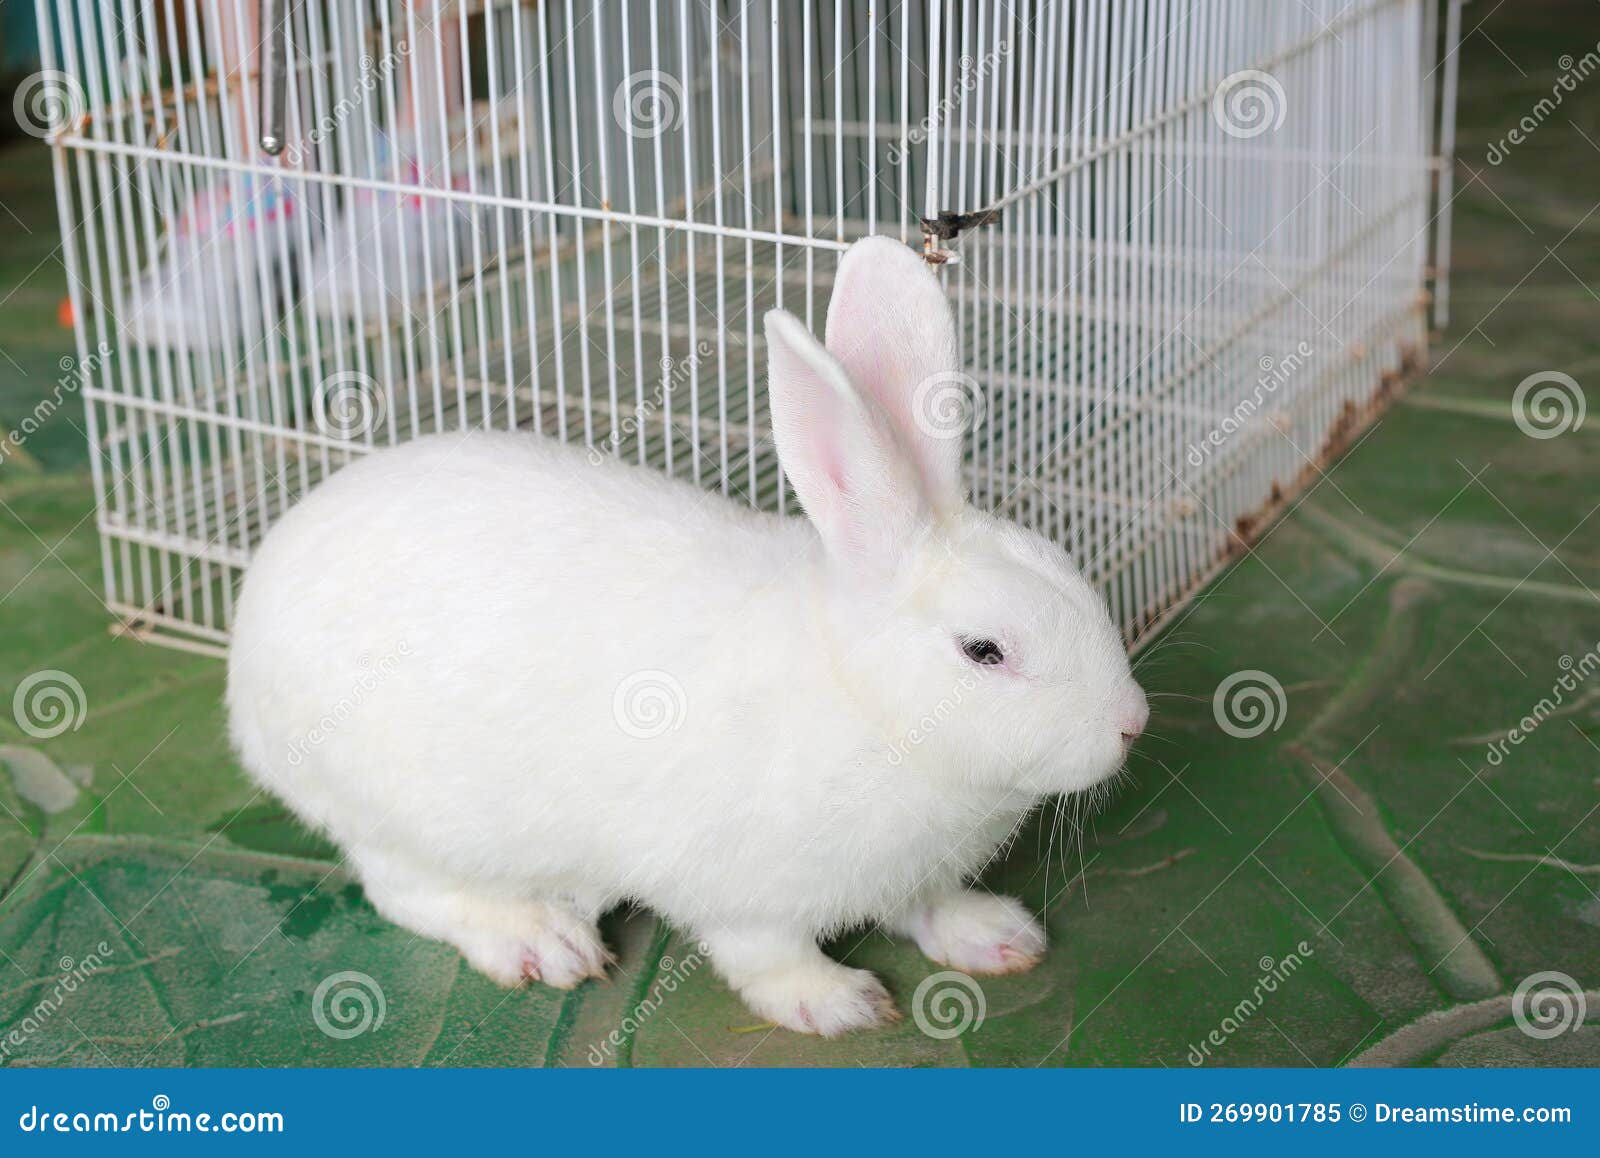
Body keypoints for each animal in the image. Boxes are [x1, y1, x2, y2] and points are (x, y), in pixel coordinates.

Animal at [226, 235, 1149, 1036]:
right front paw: (837, 1003)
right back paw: (539, 940)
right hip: (404, 816)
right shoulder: (743, 893)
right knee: (404, 891)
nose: (1131, 723)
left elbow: (928, 906)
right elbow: (766, 958)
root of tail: (245, 660)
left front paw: (997, 937)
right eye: (983, 652)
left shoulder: (912, 872)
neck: (870, 707)